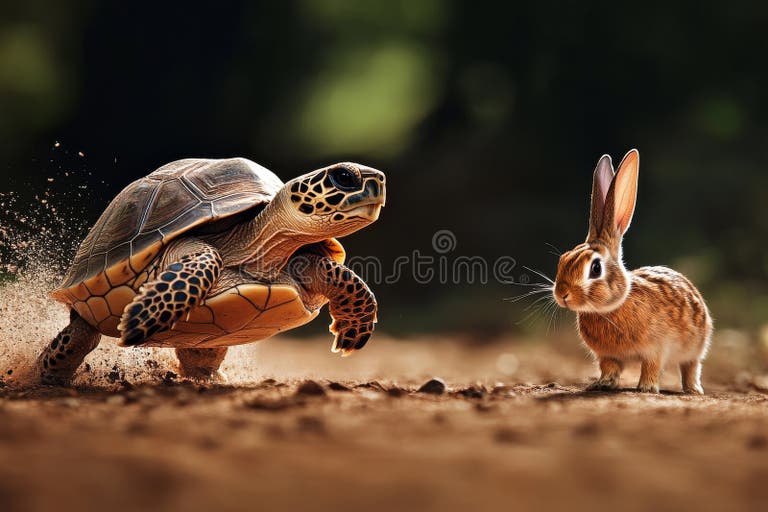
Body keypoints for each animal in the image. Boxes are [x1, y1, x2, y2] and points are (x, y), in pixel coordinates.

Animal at [553, 149, 712, 394]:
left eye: (595, 268)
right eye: (563, 259)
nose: (562, 294)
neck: (610, 308)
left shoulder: (656, 348)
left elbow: (652, 367)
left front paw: (646, 388)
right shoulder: (607, 355)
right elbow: (609, 368)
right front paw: (601, 384)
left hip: (695, 347)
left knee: (691, 367)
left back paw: (693, 390)